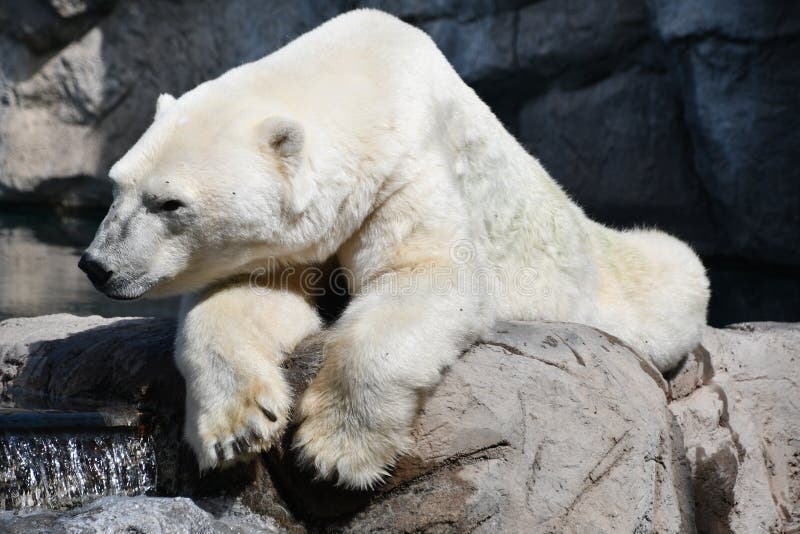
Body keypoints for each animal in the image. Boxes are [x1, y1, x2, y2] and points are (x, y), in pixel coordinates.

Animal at [79, 9, 709, 489]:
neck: (361, 73)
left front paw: (334, 451)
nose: (96, 266)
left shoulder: (407, 166)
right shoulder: (304, 231)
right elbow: (249, 295)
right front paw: (240, 426)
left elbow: (426, 274)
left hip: (616, 275)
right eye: (116, 185)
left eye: (169, 203)